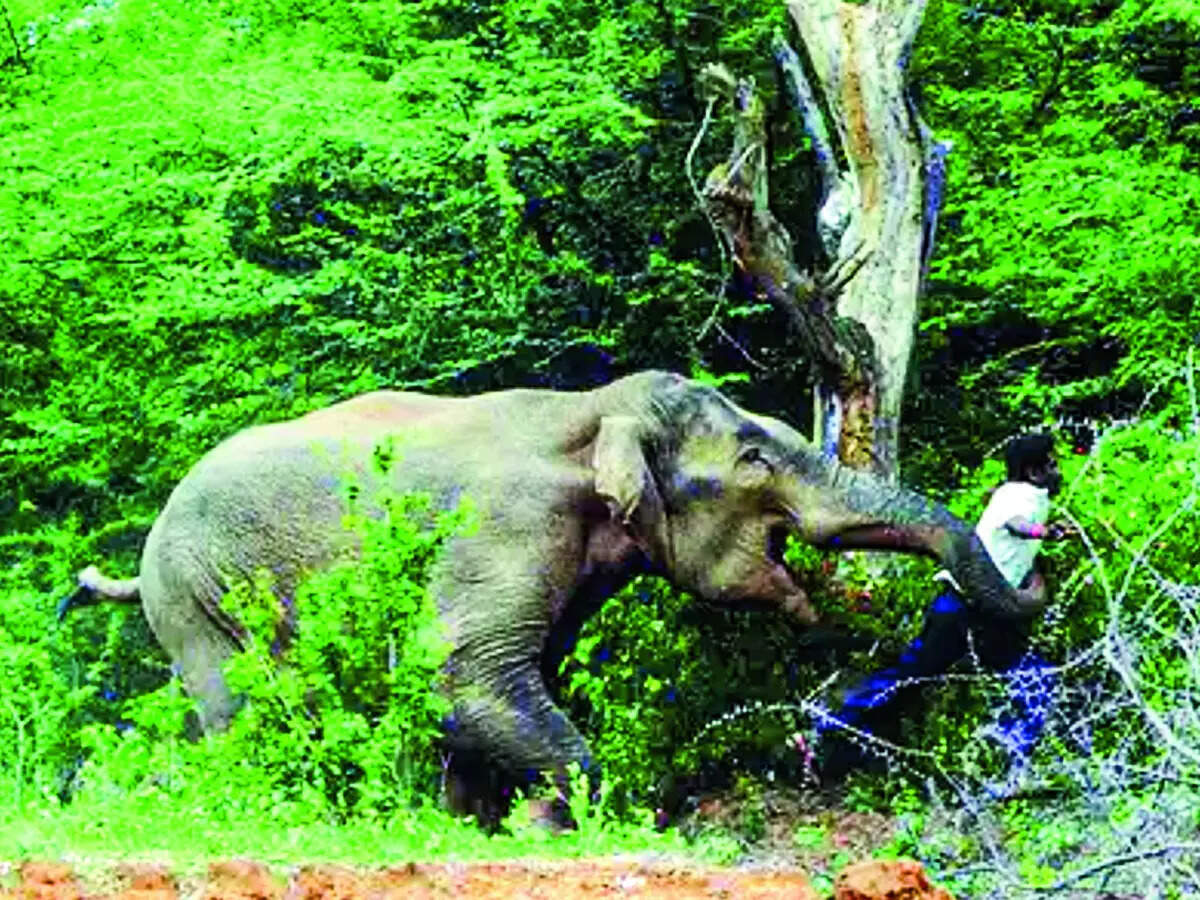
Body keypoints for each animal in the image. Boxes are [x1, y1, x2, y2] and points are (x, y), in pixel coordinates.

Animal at [62, 370, 1040, 808]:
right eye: (755, 459)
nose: (1041, 582)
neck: (591, 406)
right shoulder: (507, 531)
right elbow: (464, 677)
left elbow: (491, 692)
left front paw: (476, 825)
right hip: (201, 593)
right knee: (249, 711)